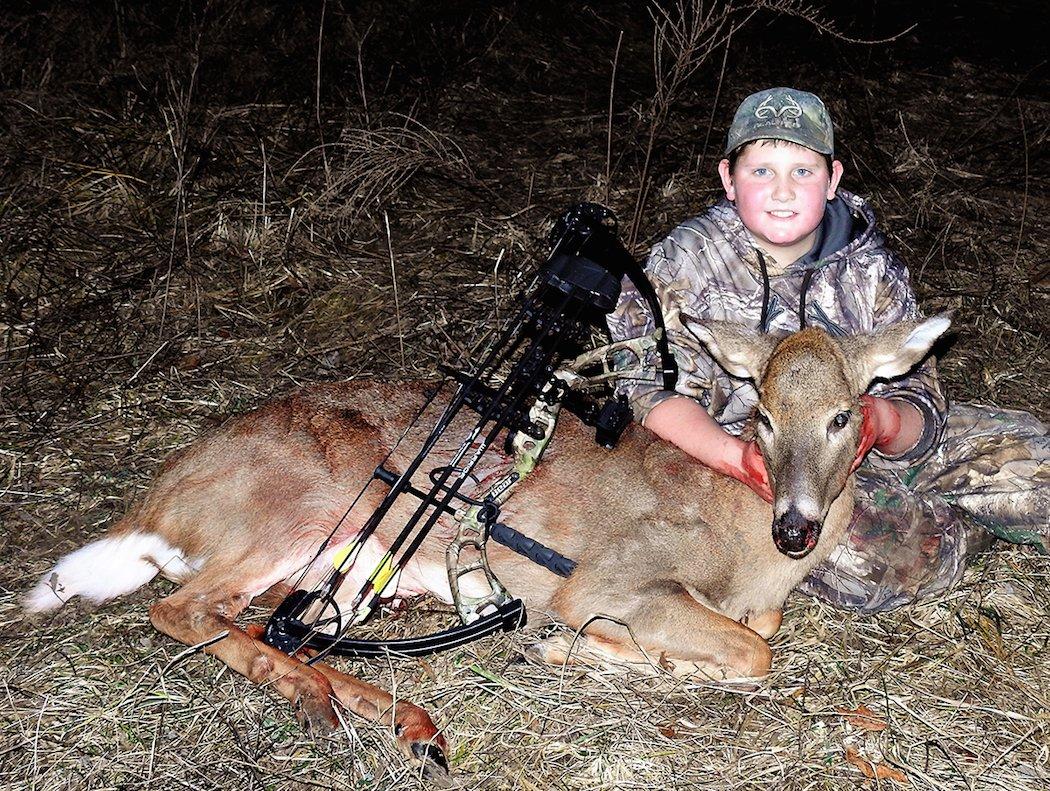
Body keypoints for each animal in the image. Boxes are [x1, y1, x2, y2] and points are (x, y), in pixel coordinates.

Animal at [24, 315, 949, 777]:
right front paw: (584, 649)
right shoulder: (610, 576)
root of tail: (160, 503)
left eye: (845, 414)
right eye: (763, 413)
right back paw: (332, 702)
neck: (749, 545)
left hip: (333, 563)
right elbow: (749, 653)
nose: (796, 526)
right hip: (295, 509)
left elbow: (760, 638)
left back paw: (407, 721)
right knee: (183, 607)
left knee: (252, 617)